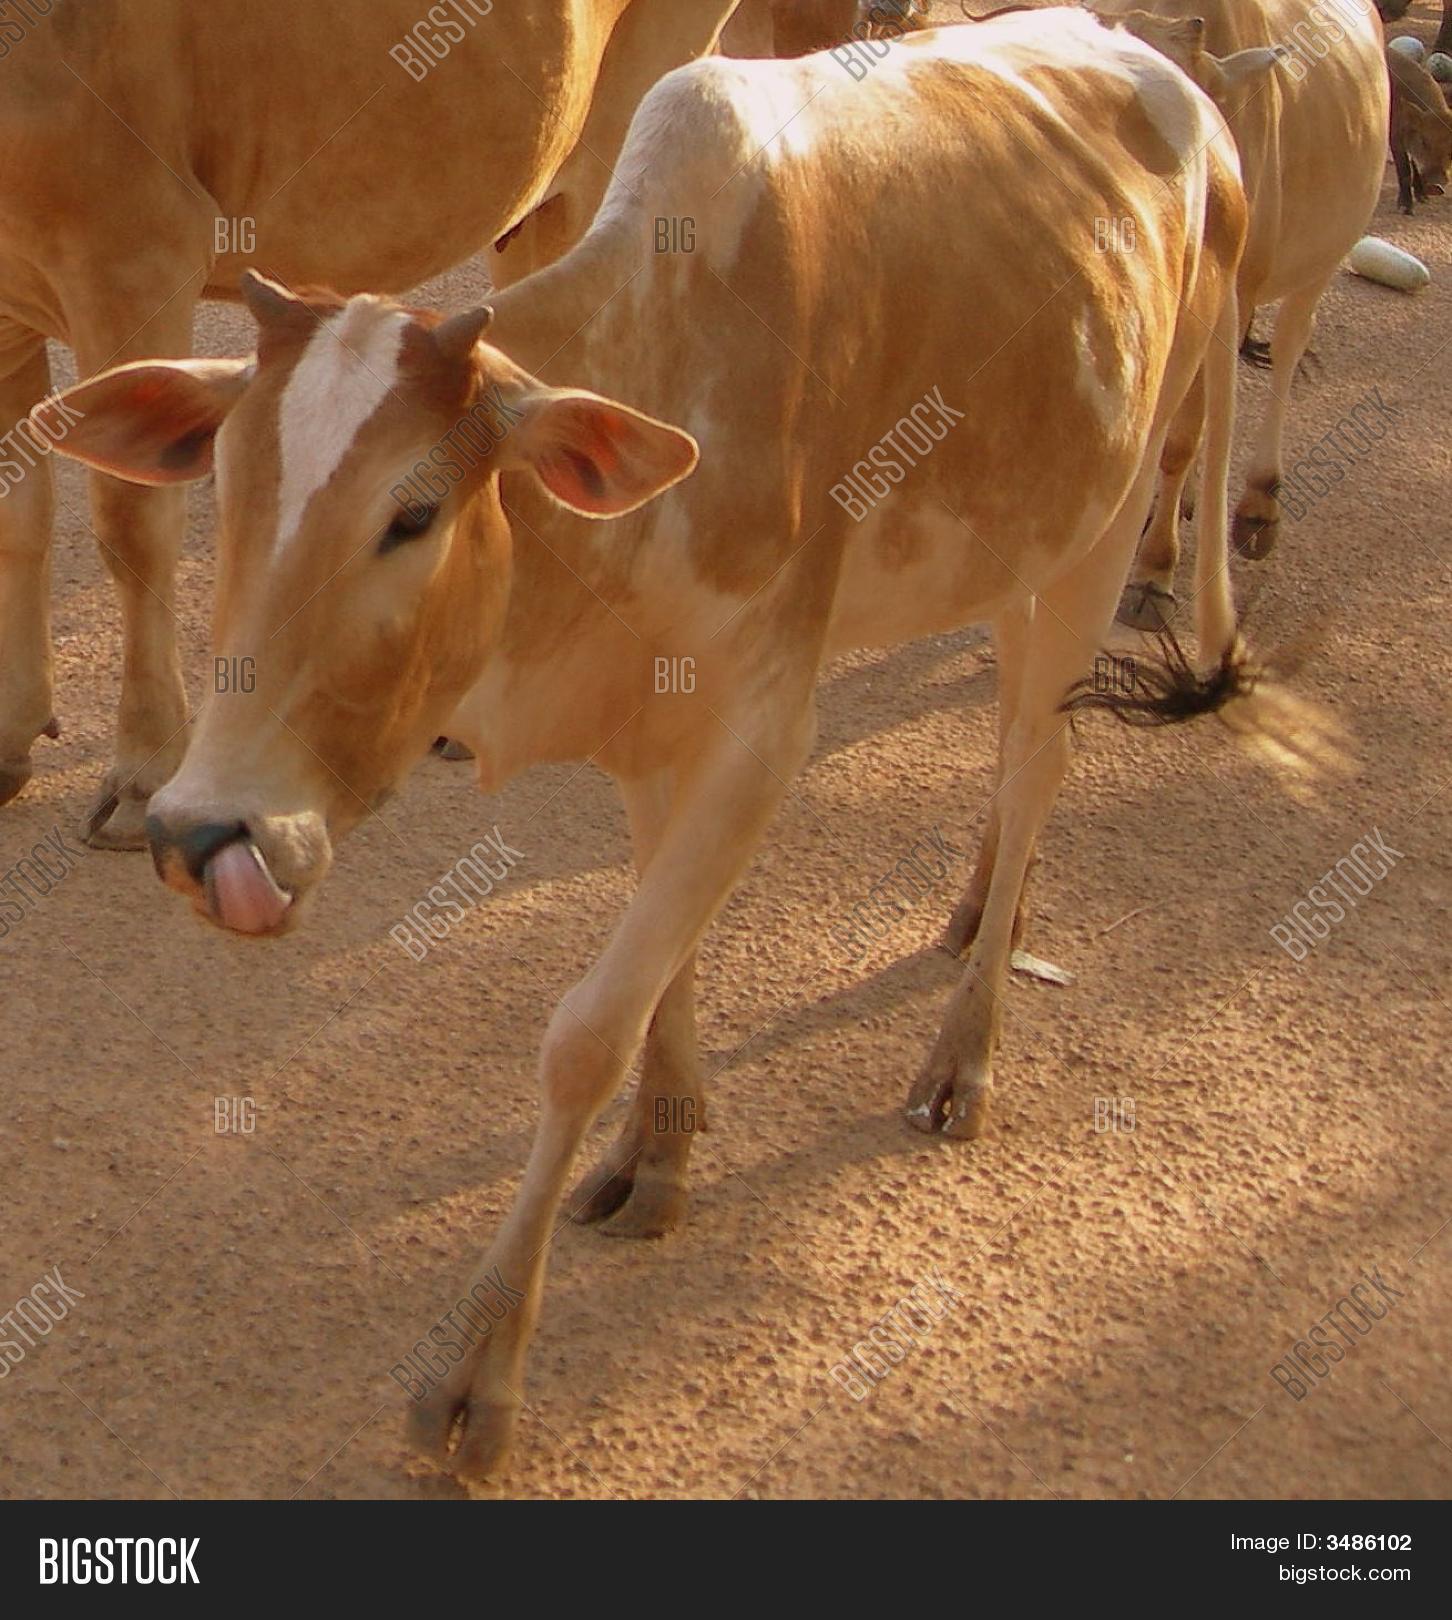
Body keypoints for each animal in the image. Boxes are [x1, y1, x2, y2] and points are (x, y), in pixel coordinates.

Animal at [1088, 0, 1389, 632]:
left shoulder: (1231, 298)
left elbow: (1181, 440)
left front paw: (1153, 574)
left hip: (1322, 259)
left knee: (1291, 342)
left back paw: (1257, 506)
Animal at [1388, 42, 1452, 210]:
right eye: (1424, 141)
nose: (1435, 185)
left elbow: (1415, 164)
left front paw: (1423, 199)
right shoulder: (1394, 137)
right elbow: (1405, 170)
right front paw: (1405, 209)